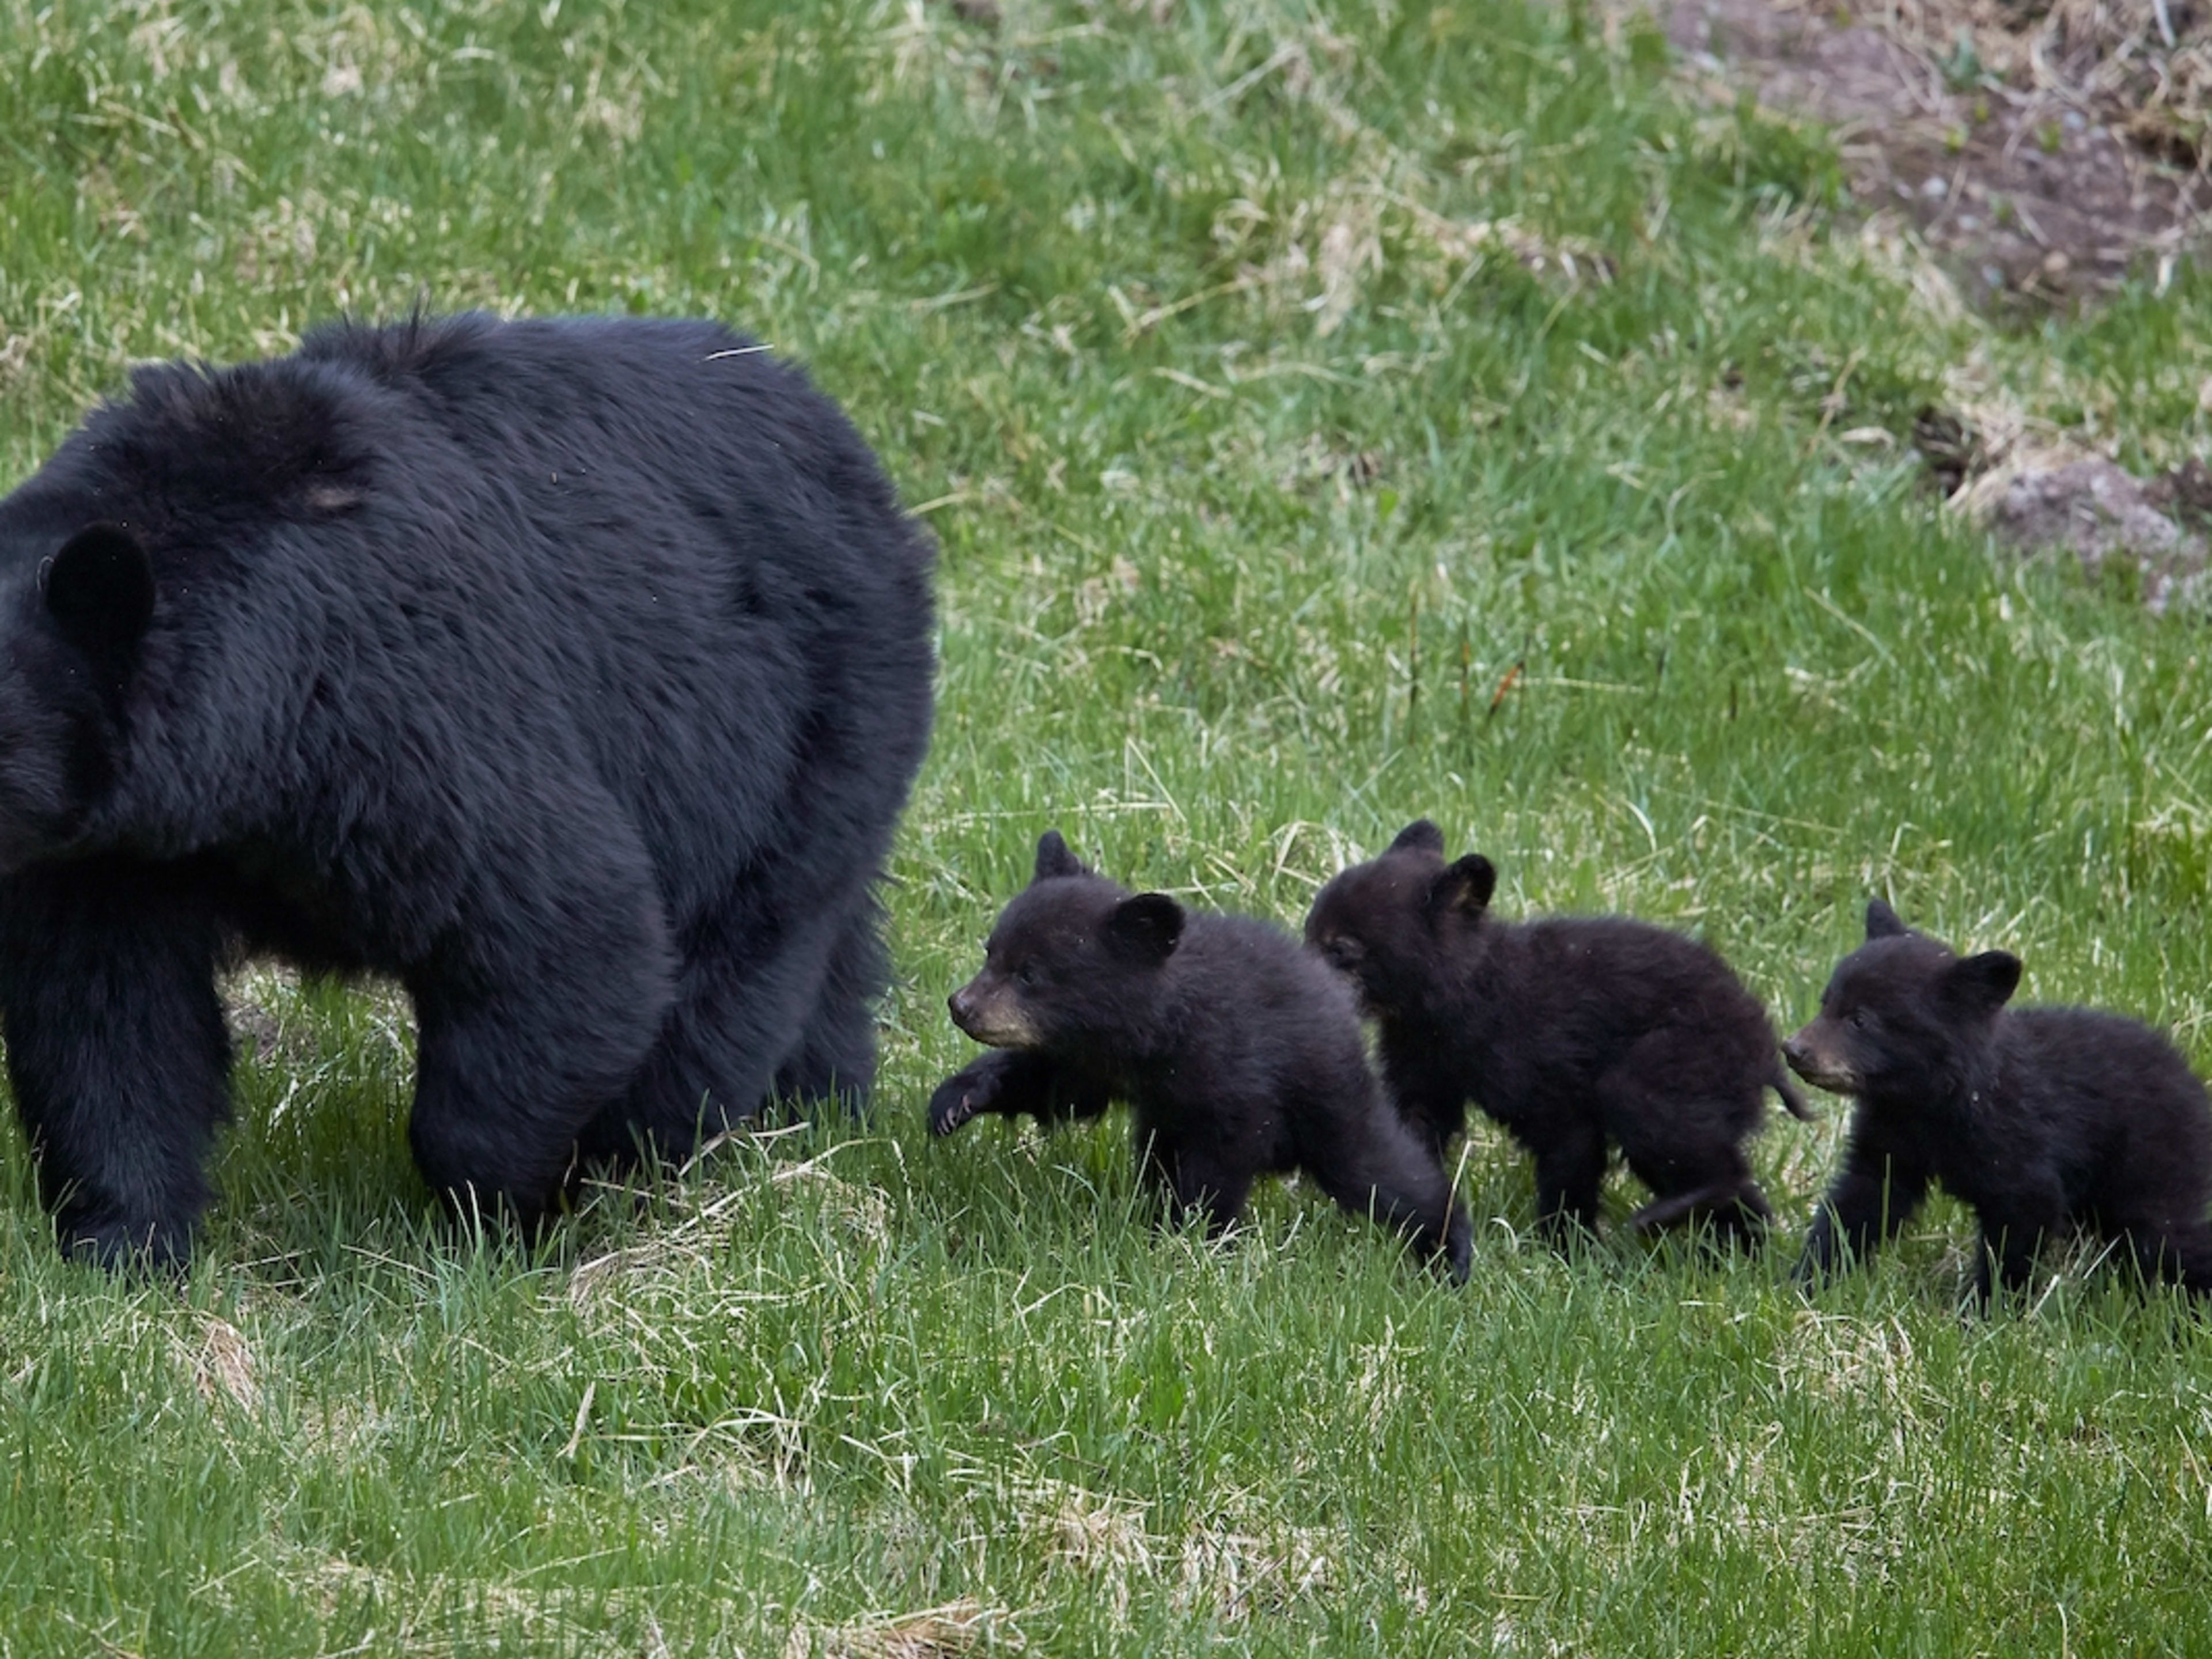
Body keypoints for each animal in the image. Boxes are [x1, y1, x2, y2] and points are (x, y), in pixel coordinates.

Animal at [0, 311, 936, 1267]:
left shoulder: (399, 710)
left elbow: (566, 930)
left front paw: (502, 1213)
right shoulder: (114, 848)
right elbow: (106, 1011)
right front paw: (125, 1242)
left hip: (798, 726)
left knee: (739, 957)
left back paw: (668, 1151)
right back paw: (819, 1111)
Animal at [929, 831, 1474, 1283]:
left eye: (1030, 973)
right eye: (991, 951)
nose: (961, 1006)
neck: (1158, 1033)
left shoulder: (1233, 1078)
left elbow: (1221, 1161)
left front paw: (1191, 1238)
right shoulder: (1098, 1059)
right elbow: (1056, 1089)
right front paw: (955, 1100)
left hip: (1327, 1096)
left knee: (1377, 1170)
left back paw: (1449, 1252)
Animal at [1302, 820, 1810, 1248]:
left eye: (1341, 948)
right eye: (1310, 932)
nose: (1299, 982)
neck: (1454, 1003)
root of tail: (1766, 1053)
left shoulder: (1540, 1061)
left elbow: (1568, 1146)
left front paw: (1564, 1245)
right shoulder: (1421, 1052)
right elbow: (1414, 1124)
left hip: (1681, 1060)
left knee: (1673, 1128)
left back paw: (1667, 1217)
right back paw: (1738, 1246)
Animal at [1786, 899, 2212, 1305]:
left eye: (1861, 1020)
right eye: (1826, 1003)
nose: (1793, 1050)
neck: (1928, 1102)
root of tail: (2192, 1083)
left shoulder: (2017, 1145)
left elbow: (2019, 1222)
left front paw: (1985, 1308)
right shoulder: (1890, 1135)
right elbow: (1860, 1200)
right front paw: (1809, 1278)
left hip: (2150, 1170)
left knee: (2169, 1237)